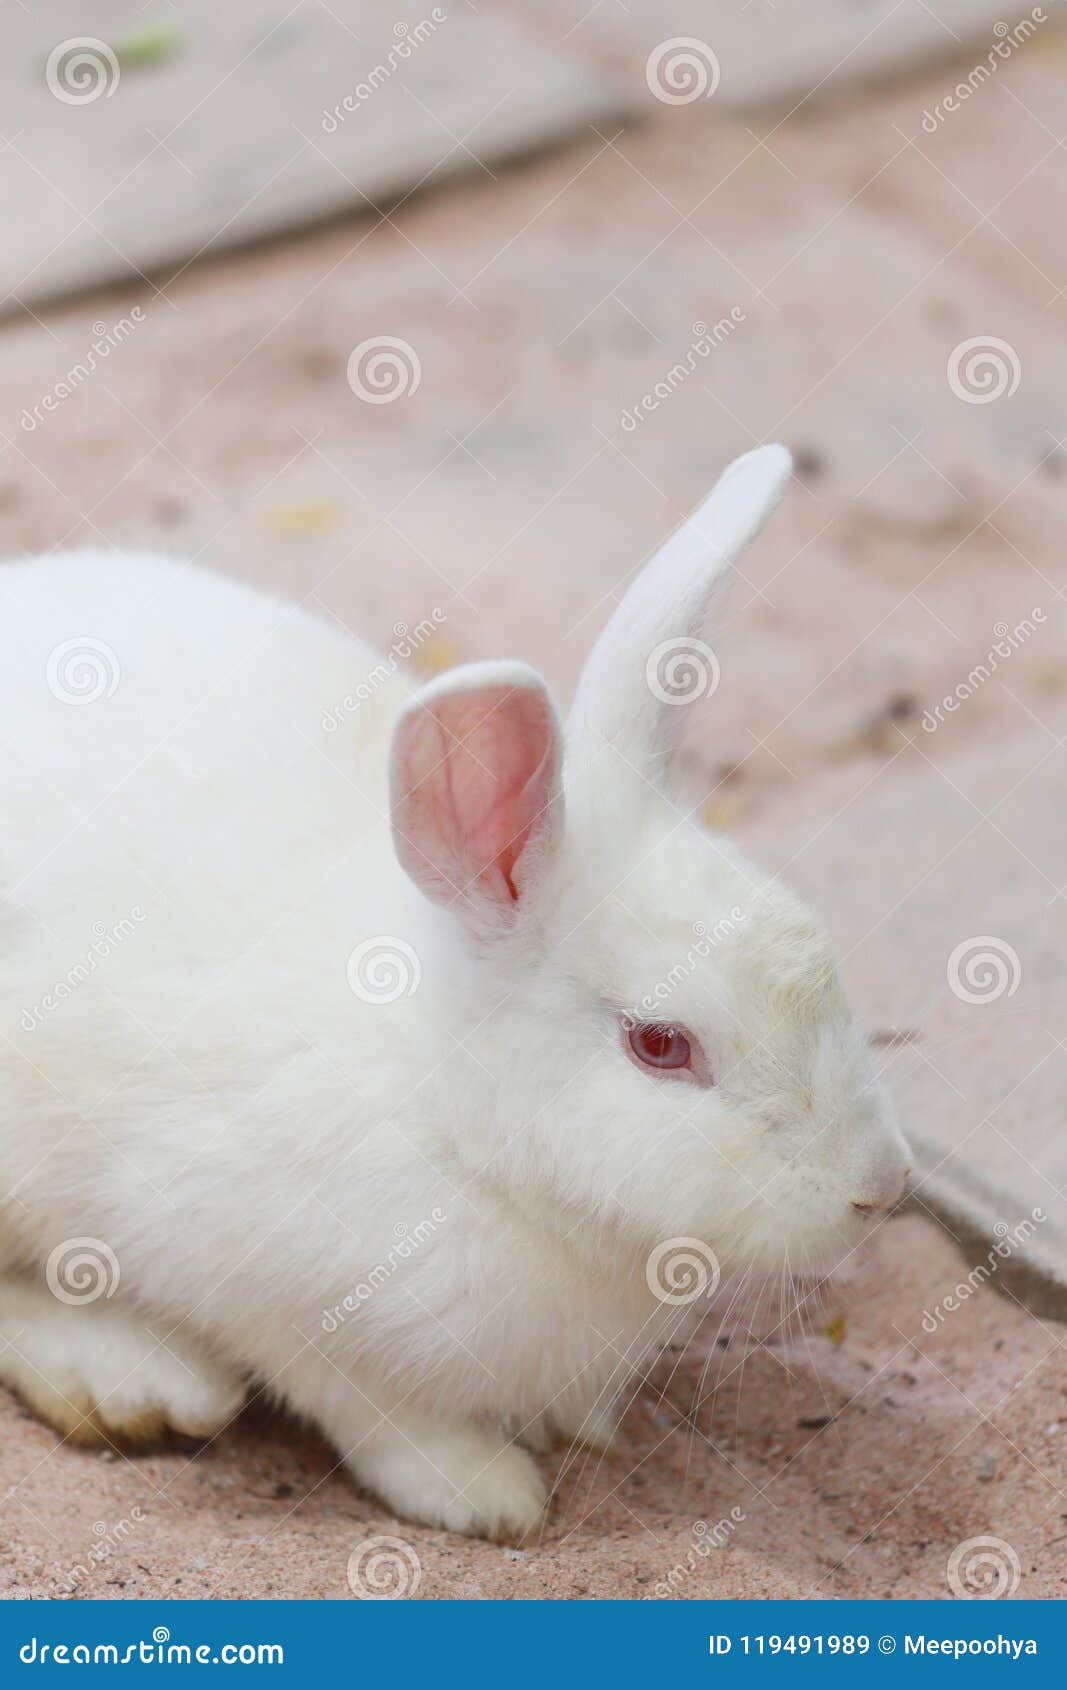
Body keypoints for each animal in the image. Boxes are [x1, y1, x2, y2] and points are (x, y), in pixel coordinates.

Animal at [0, 444, 910, 1539]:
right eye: (659, 1045)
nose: (879, 1189)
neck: (444, 1113)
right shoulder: (265, 1288)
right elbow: (369, 1408)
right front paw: (484, 1491)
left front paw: (578, 1425)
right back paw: (139, 1380)